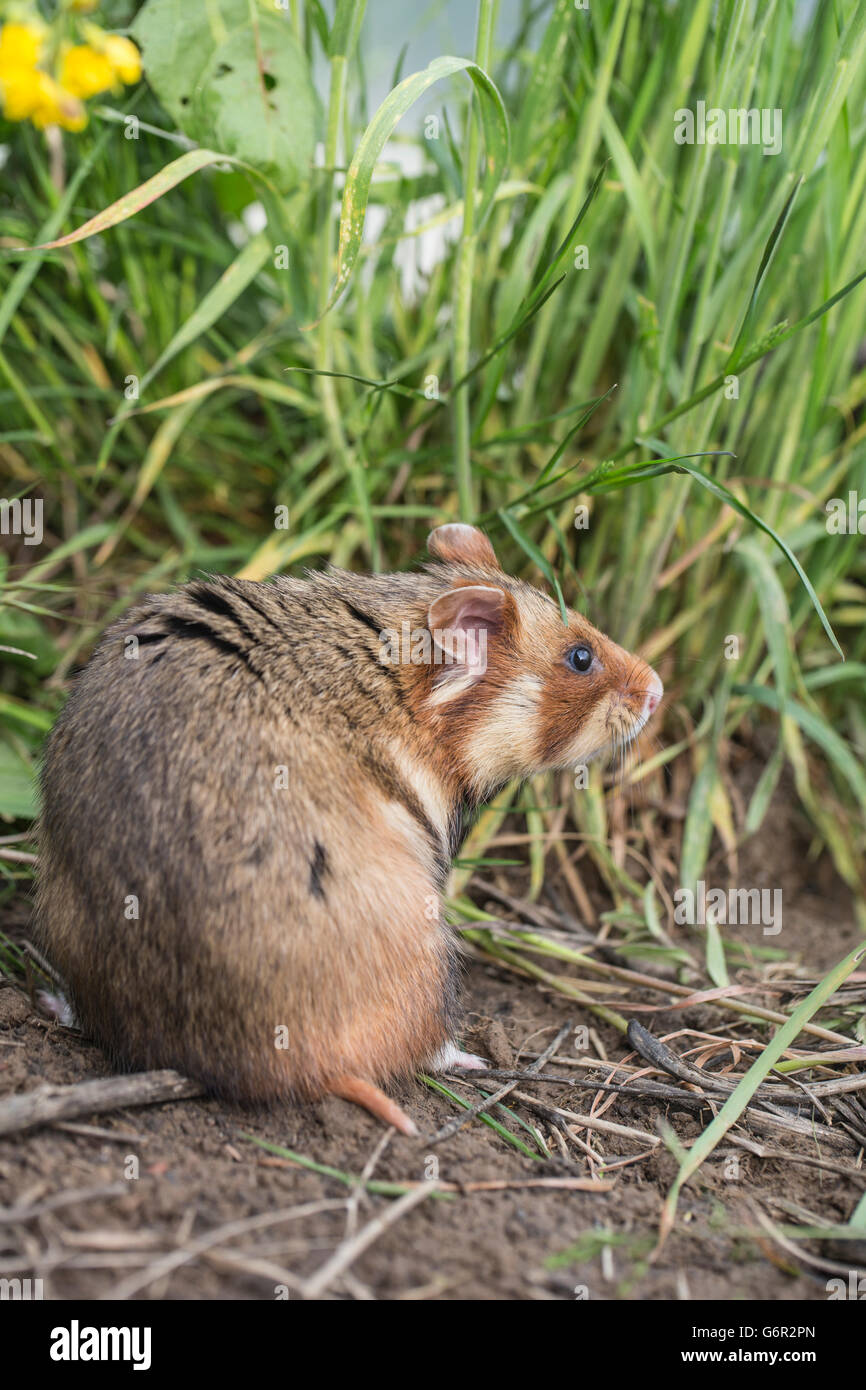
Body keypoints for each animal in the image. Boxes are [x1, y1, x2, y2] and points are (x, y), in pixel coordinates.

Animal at [33, 523, 662, 1136]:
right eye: (580, 658)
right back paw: (471, 1058)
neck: (404, 685)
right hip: (426, 949)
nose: (658, 691)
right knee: (421, 1048)